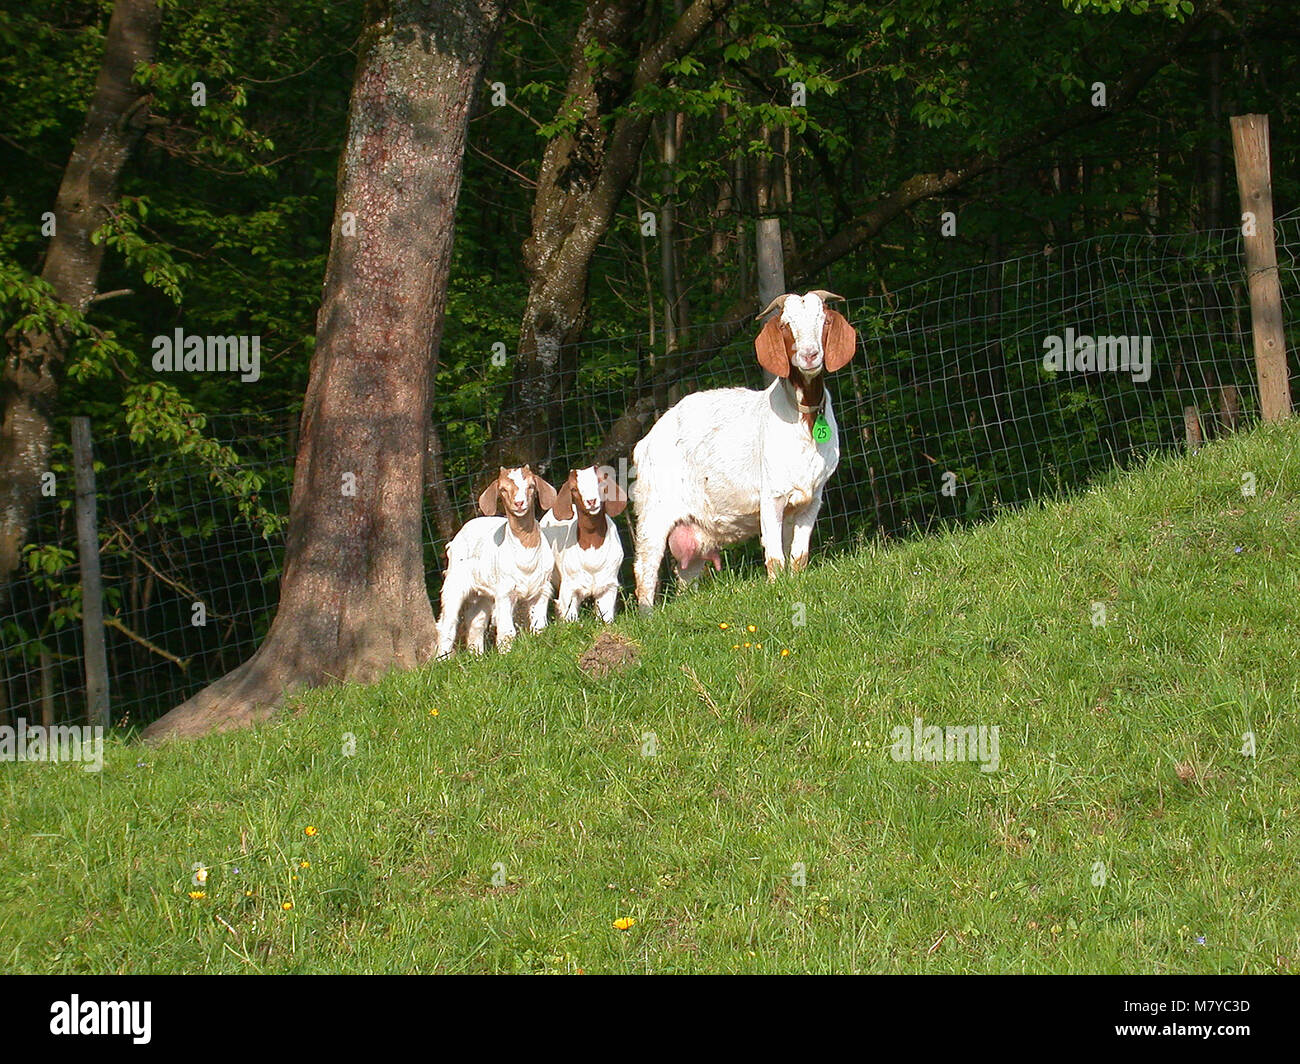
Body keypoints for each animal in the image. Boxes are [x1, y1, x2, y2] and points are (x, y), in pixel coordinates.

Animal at [435, 466, 557, 656]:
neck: (526, 551)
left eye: (531, 486)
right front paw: (507, 655)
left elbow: (539, 625)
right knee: (447, 624)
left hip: (483, 594)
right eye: (503, 489)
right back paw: (443, 659)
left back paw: (477, 656)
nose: (519, 503)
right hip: (454, 584)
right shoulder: (505, 591)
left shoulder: (542, 588)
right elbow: (507, 631)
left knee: (476, 622)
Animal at [540, 465, 627, 622]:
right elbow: (569, 616)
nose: (591, 501)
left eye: (601, 483)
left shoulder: (608, 585)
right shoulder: (569, 587)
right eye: (574, 489)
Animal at [630, 290, 857, 610]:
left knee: (685, 575)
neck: (803, 421)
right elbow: (774, 556)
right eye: (785, 325)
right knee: (645, 567)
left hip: (692, 531)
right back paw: (647, 614)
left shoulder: (812, 498)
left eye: (823, 321)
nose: (810, 355)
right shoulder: (772, 496)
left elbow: (799, 556)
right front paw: (777, 589)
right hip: (654, 508)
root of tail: (646, 442)